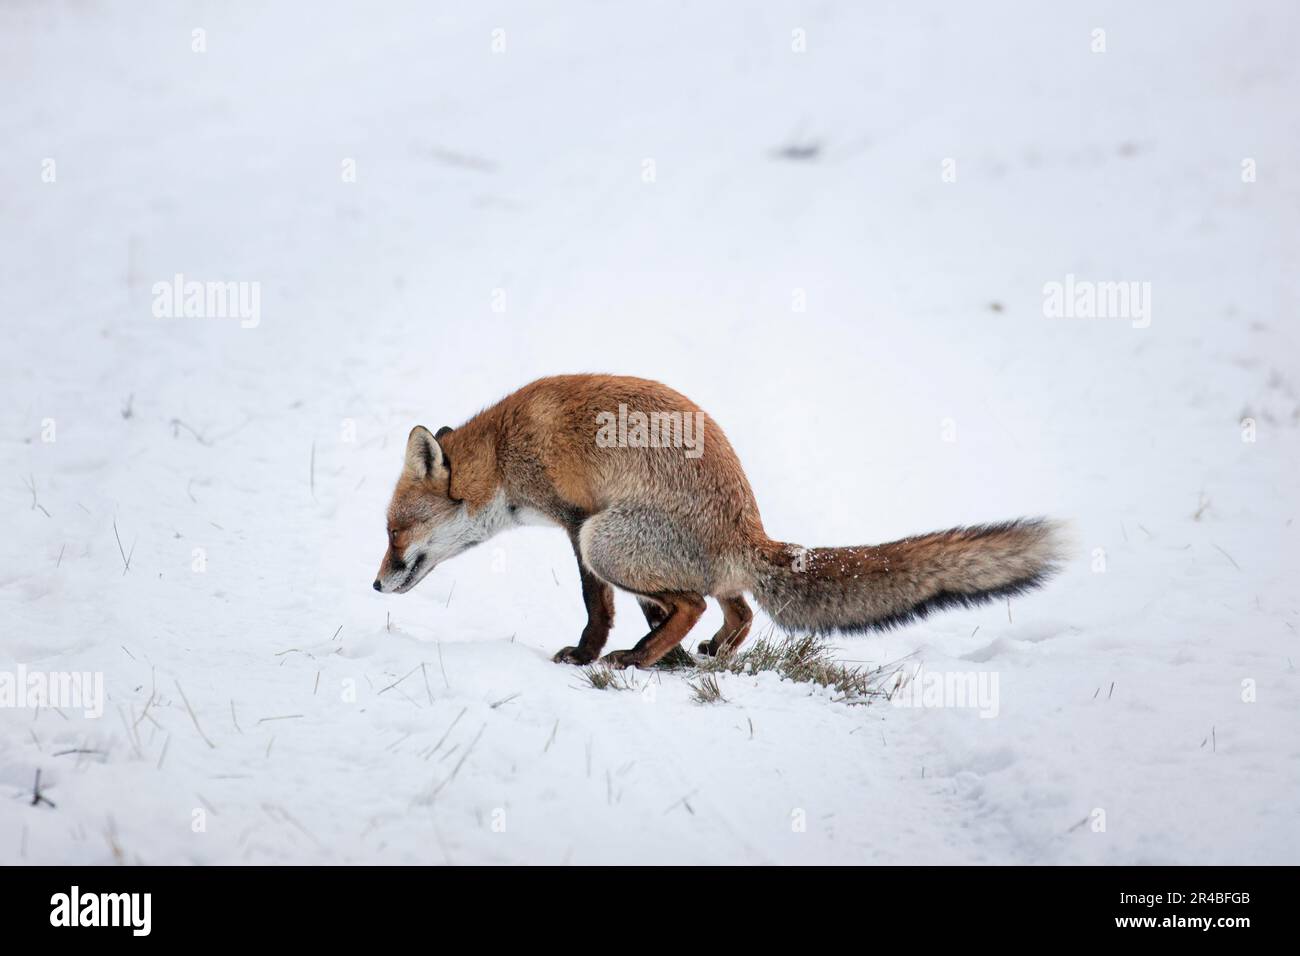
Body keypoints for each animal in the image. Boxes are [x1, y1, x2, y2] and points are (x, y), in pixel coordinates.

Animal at [373, 374, 1066, 669]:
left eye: (393, 533)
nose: (376, 584)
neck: (506, 454)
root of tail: (749, 532)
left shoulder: (576, 523)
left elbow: (598, 608)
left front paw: (587, 653)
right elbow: (646, 608)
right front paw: (660, 648)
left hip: (608, 540)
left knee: (695, 604)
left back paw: (639, 658)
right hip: (649, 553)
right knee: (737, 608)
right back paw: (702, 650)